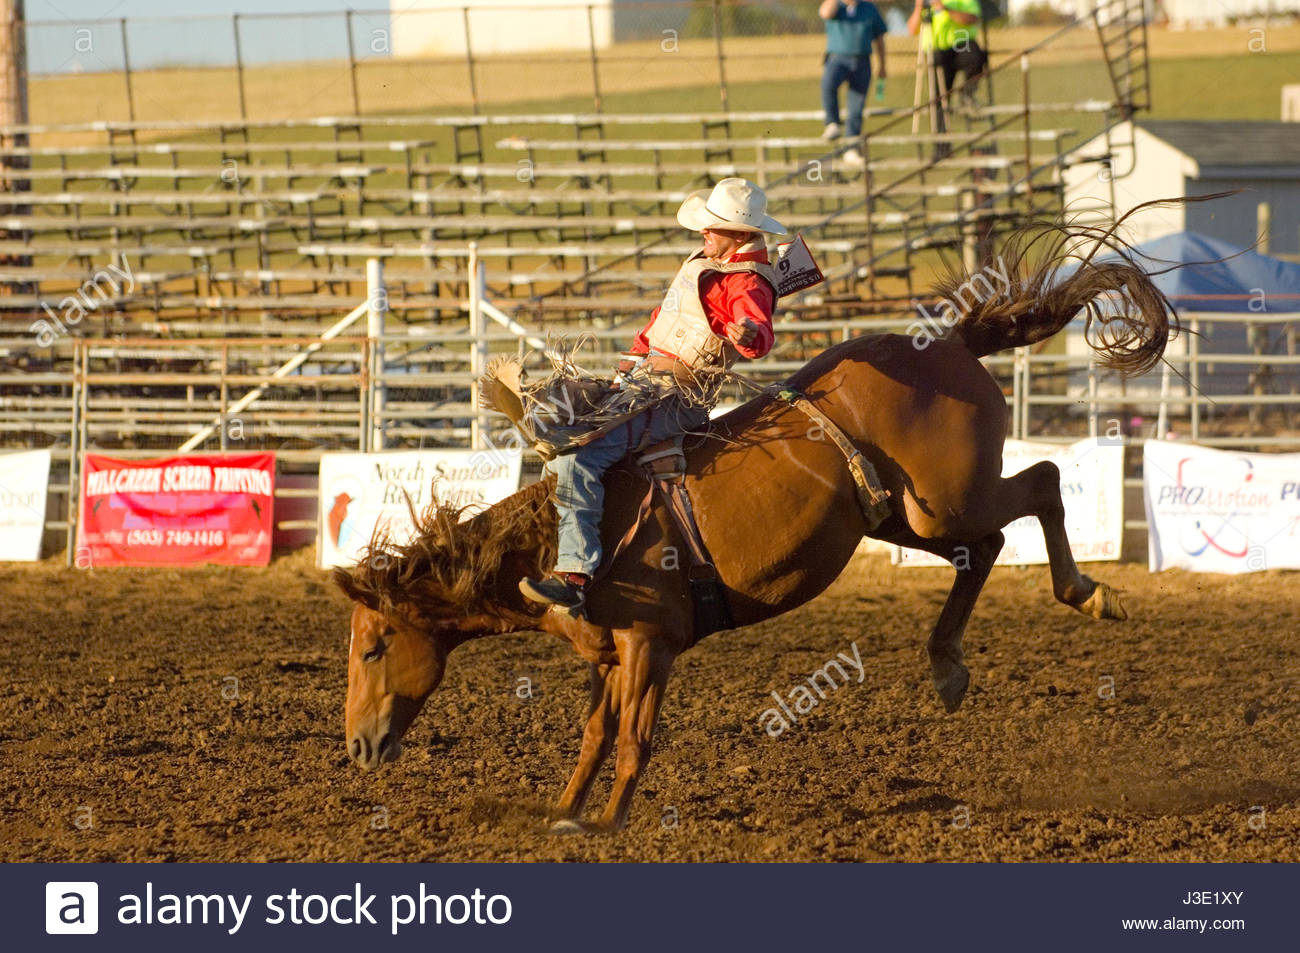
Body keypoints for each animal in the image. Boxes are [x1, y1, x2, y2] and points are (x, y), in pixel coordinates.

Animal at [333, 215, 1175, 833]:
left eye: (374, 647)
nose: (358, 746)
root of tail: (949, 340)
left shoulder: (650, 644)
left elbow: (634, 737)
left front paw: (604, 822)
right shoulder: (606, 655)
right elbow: (596, 734)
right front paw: (565, 810)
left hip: (946, 497)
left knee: (1043, 483)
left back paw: (1088, 592)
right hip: (900, 516)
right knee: (988, 543)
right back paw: (946, 664)